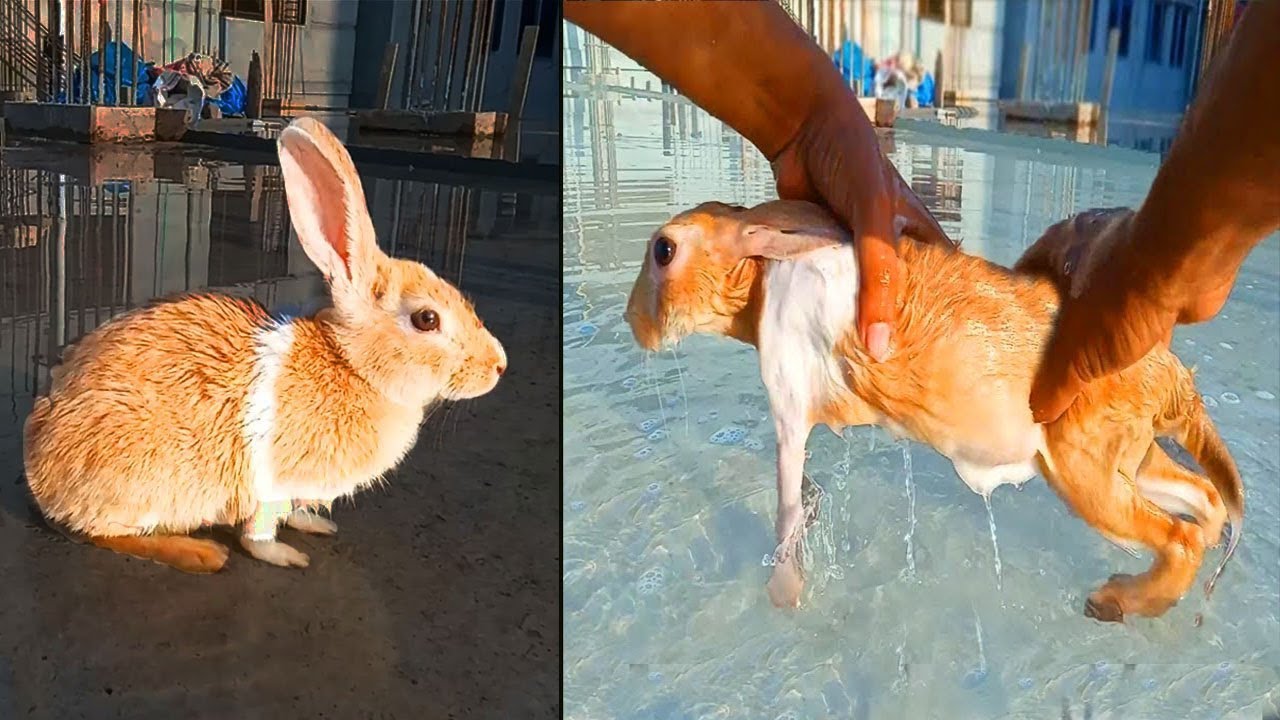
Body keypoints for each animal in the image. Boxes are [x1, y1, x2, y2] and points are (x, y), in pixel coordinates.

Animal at [22, 116, 507, 573]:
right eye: (427, 319)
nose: (498, 365)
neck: (352, 365)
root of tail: (39, 470)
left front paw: (316, 524)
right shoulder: (271, 483)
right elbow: (258, 536)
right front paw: (289, 557)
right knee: (102, 533)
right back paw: (204, 554)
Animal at [624, 199, 1242, 623]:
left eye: (664, 250)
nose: (632, 320)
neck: (762, 274)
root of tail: (1167, 369)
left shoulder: (789, 403)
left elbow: (786, 507)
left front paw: (785, 591)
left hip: (1084, 473)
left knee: (1180, 539)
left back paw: (1114, 601)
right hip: (1126, 458)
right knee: (1205, 503)